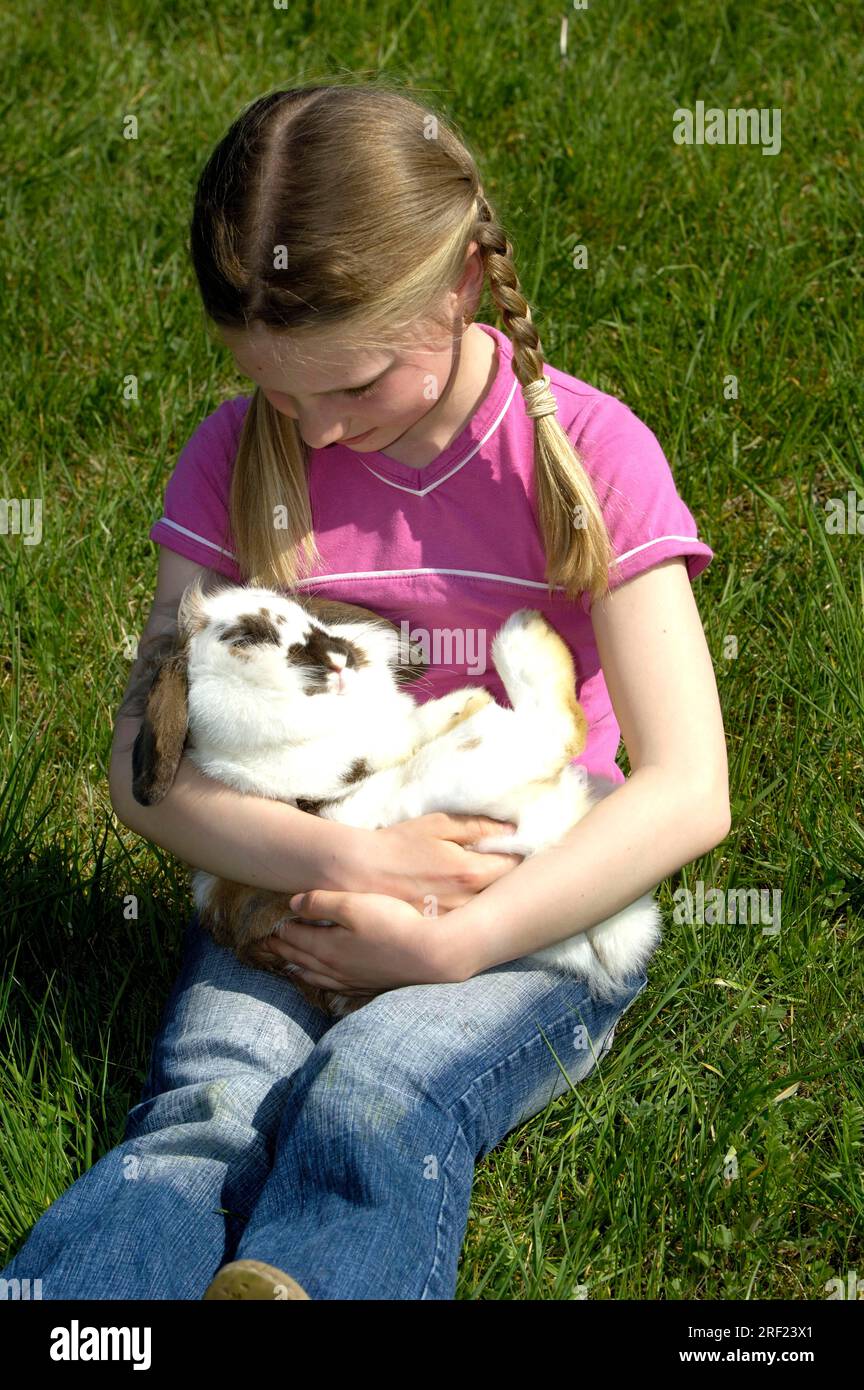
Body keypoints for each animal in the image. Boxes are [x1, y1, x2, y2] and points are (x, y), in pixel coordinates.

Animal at [131, 574, 661, 1018]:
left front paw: (456, 702)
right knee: (554, 732)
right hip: (470, 776)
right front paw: (463, 702)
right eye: (244, 638)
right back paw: (522, 633)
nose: (339, 657)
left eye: (310, 619)